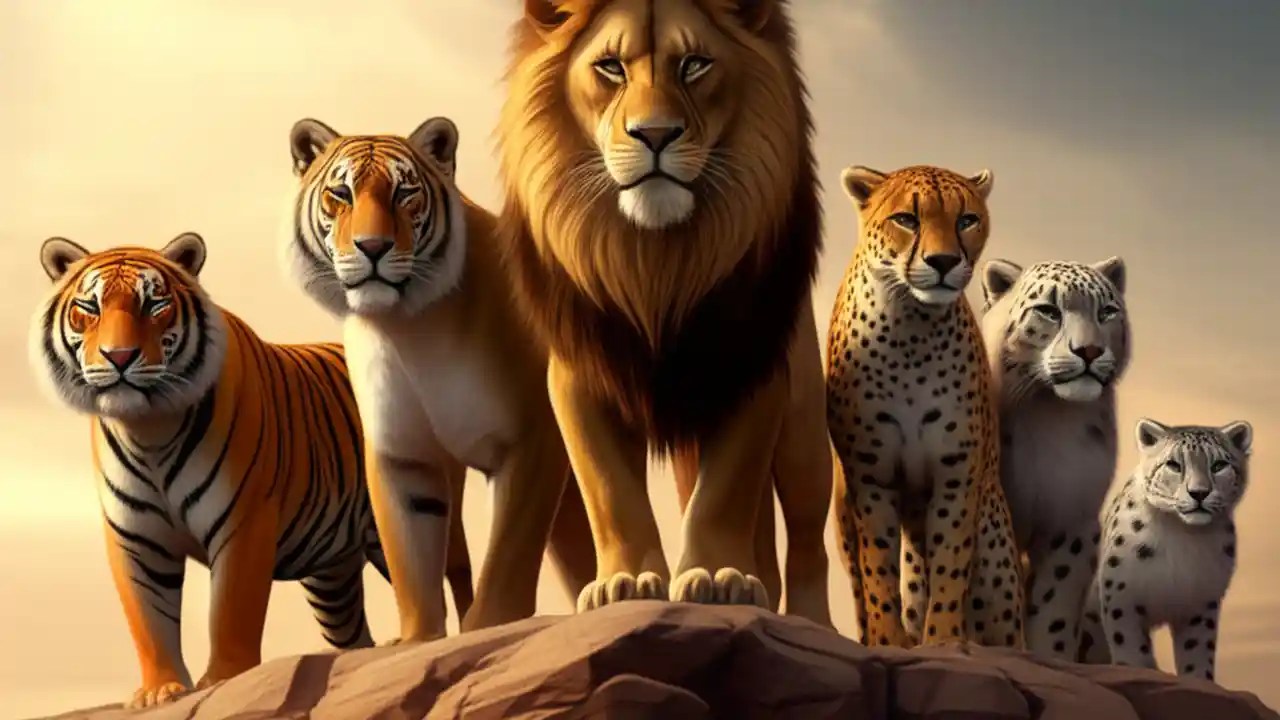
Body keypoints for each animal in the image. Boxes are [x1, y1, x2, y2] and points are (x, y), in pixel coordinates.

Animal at [27, 233, 473, 709]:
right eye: (89, 308)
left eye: (154, 304)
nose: (120, 356)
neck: (149, 430)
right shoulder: (135, 537)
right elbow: (147, 617)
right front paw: (159, 691)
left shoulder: (243, 521)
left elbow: (230, 611)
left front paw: (222, 679)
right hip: (332, 575)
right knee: (354, 634)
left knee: (454, 576)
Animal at [495, 0, 832, 626]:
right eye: (611, 68)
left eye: (695, 65)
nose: (654, 135)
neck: (655, 267)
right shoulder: (579, 376)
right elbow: (610, 490)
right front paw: (624, 583)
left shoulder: (753, 370)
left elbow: (723, 492)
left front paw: (718, 577)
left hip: (804, 438)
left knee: (806, 539)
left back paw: (809, 621)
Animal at [826, 164, 1025, 649]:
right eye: (906, 219)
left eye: (967, 220)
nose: (944, 262)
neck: (912, 330)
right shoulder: (871, 478)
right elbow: (877, 568)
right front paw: (887, 639)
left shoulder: (957, 477)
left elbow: (951, 565)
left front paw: (943, 641)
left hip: (995, 561)